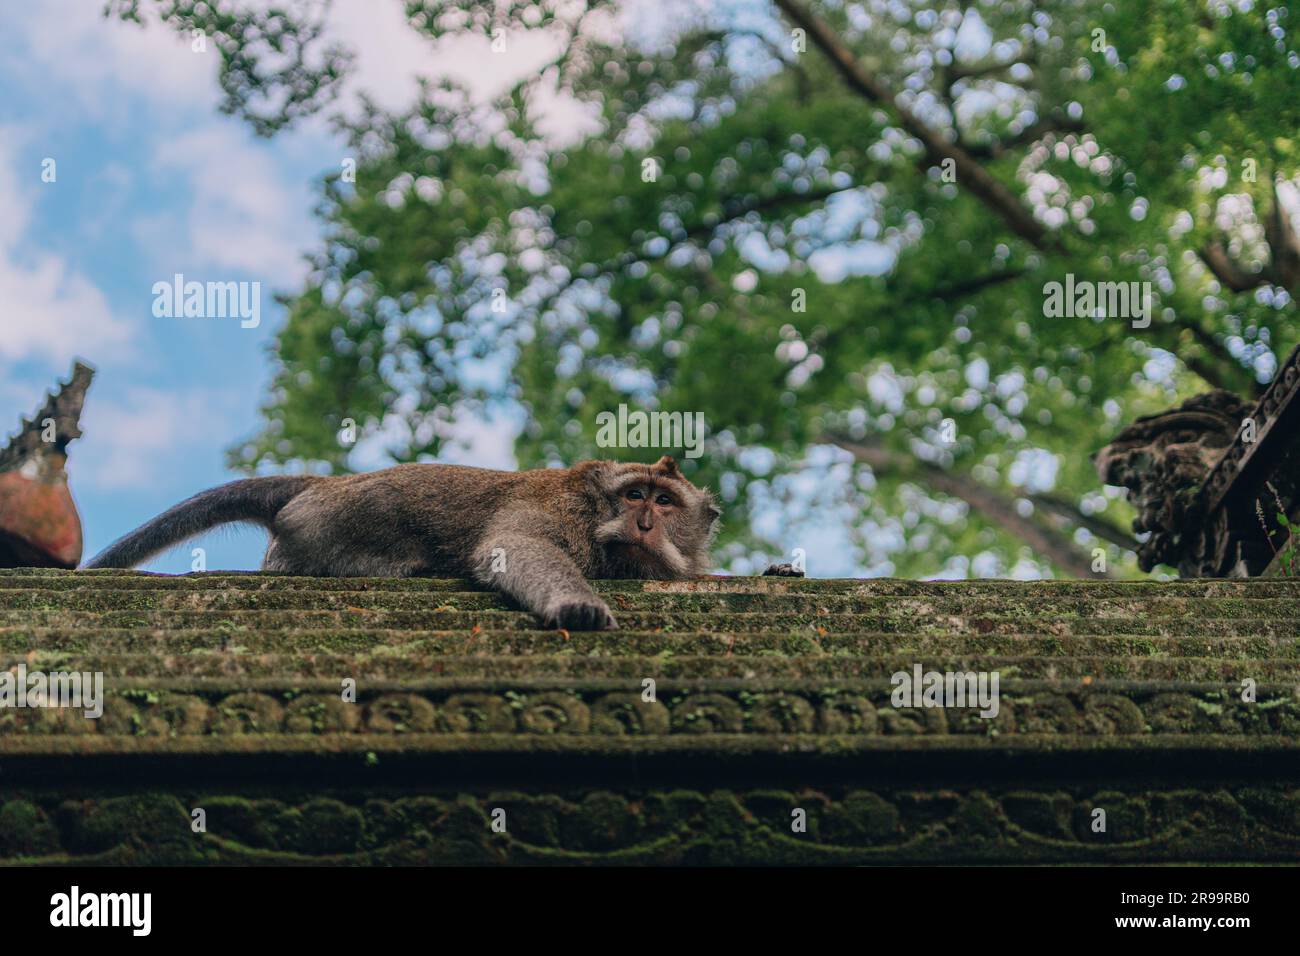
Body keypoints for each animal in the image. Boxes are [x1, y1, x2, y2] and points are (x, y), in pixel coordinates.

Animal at [82, 456, 720, 631]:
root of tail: (322, 484)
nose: (644, 523)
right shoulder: (559, 513)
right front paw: (577, 604)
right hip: (327, 527)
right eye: (634, 494)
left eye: (665, 502)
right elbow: (515, 547)